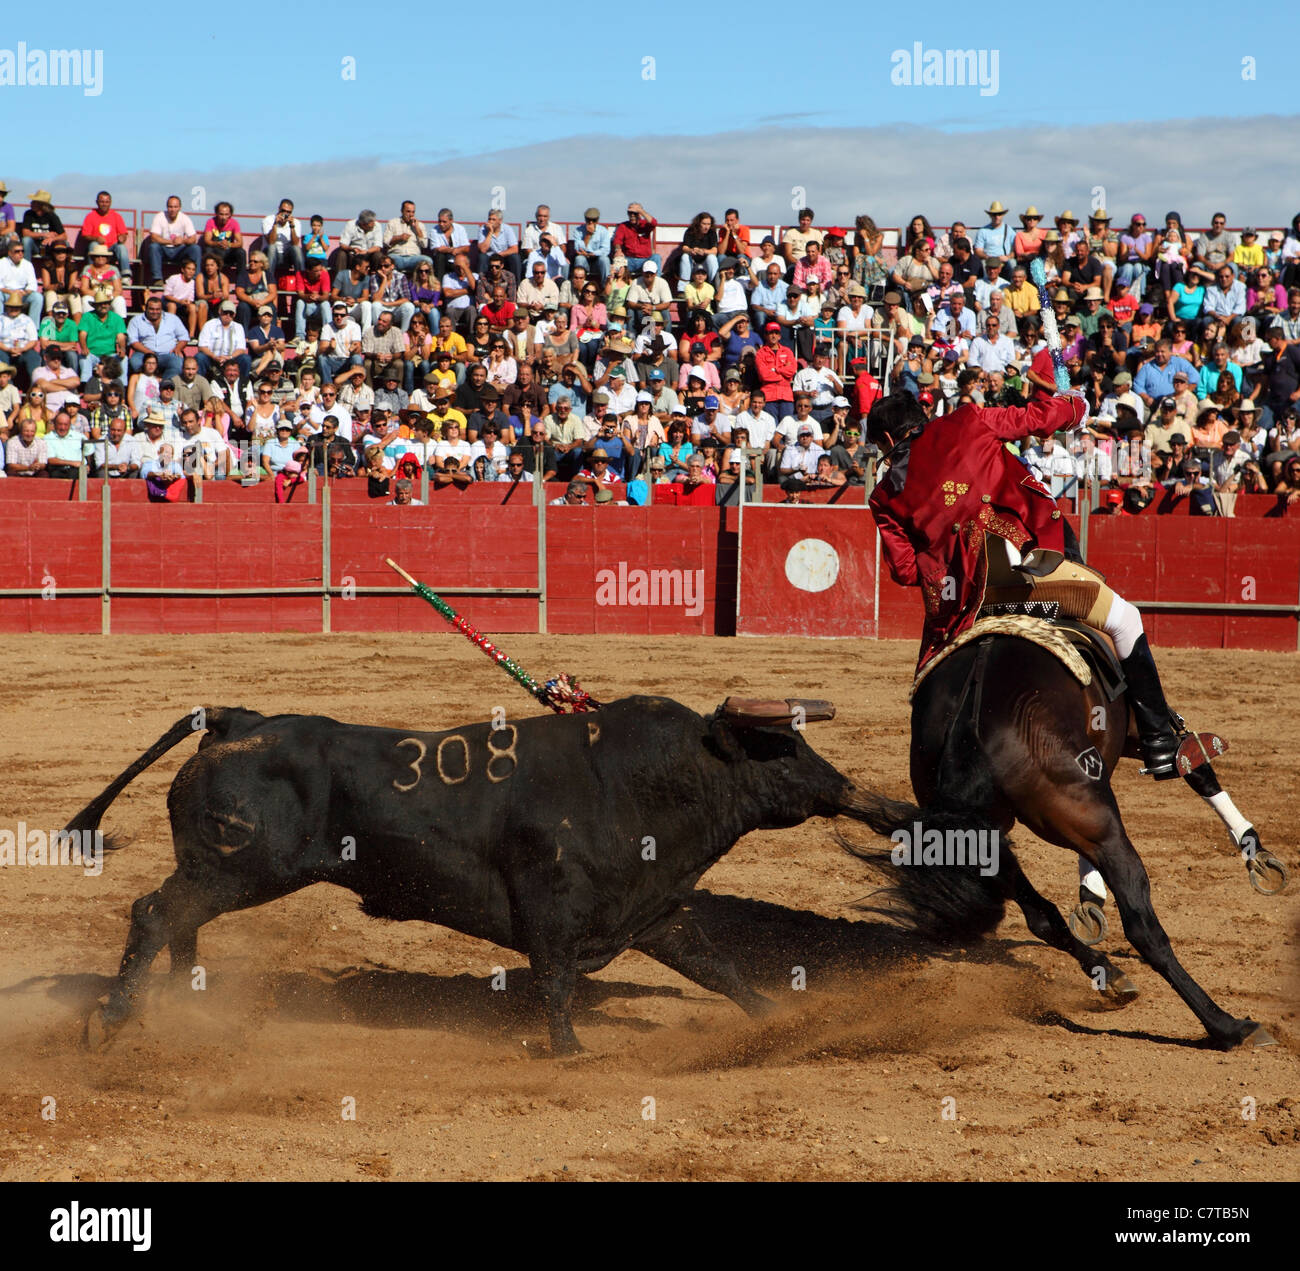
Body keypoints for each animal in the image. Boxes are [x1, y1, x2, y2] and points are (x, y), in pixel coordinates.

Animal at [847, 625, 1284, 1050]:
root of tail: (970, 720)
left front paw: (1090, 896)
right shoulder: (1133, 734)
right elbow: (1191, 763)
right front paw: (1253, 849)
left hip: (991, 843)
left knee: (1042, 916)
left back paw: (1110, 974)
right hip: (1102, 828)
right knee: (1143, 928)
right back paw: (1228, 1027)